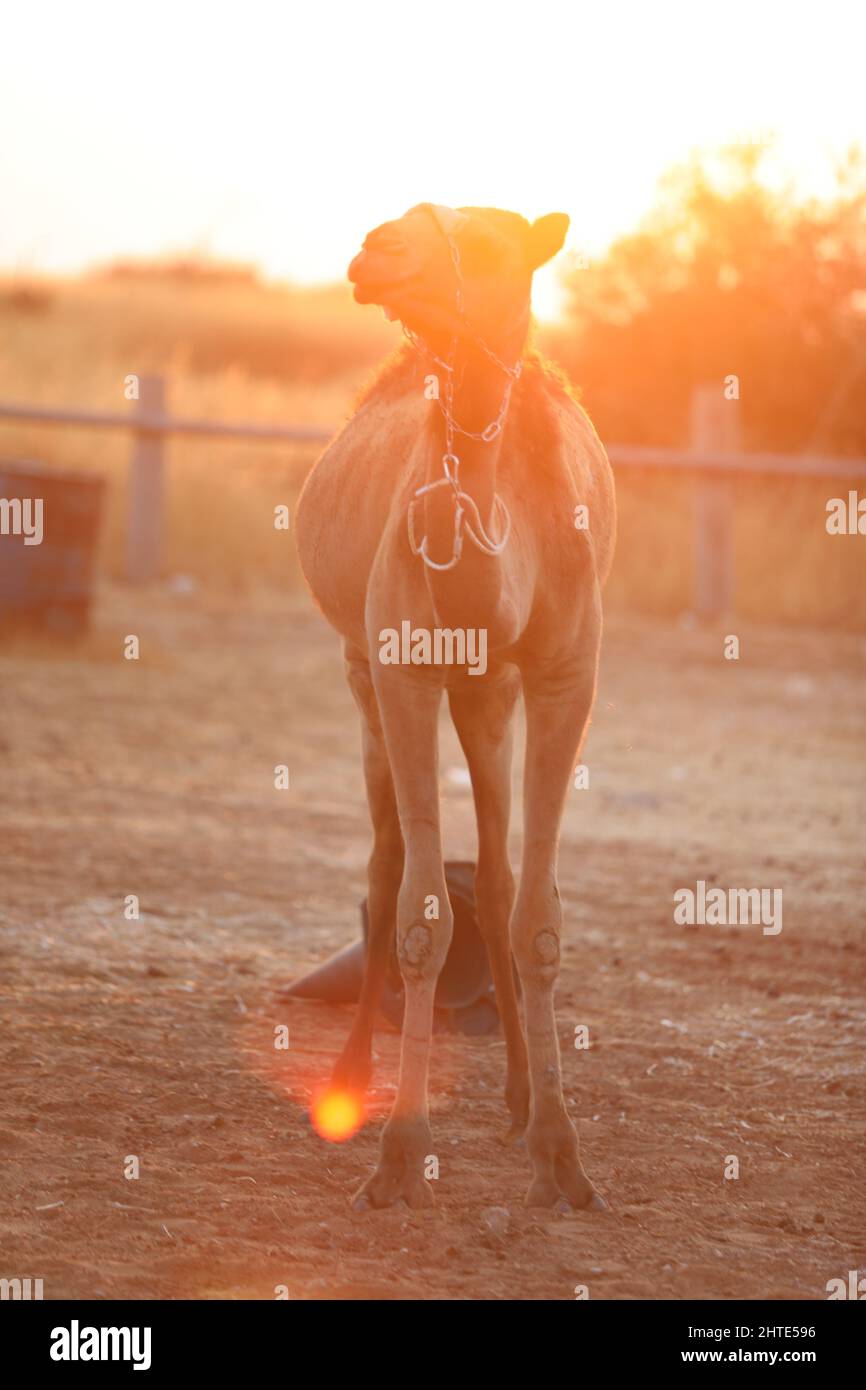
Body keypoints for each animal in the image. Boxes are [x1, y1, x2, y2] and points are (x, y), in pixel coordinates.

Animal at [295, 202, 615, 1211]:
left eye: (492, 241)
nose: (377, 249)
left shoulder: (562, 673)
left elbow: (535, 913)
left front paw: (560, 1153)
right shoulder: (401, 669)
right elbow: (422, 911)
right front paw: (400, 1156)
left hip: (487, 692)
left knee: (500, 875)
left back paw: (514, 1094)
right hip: (363, 672)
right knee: (386, 859)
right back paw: (352, 1077)